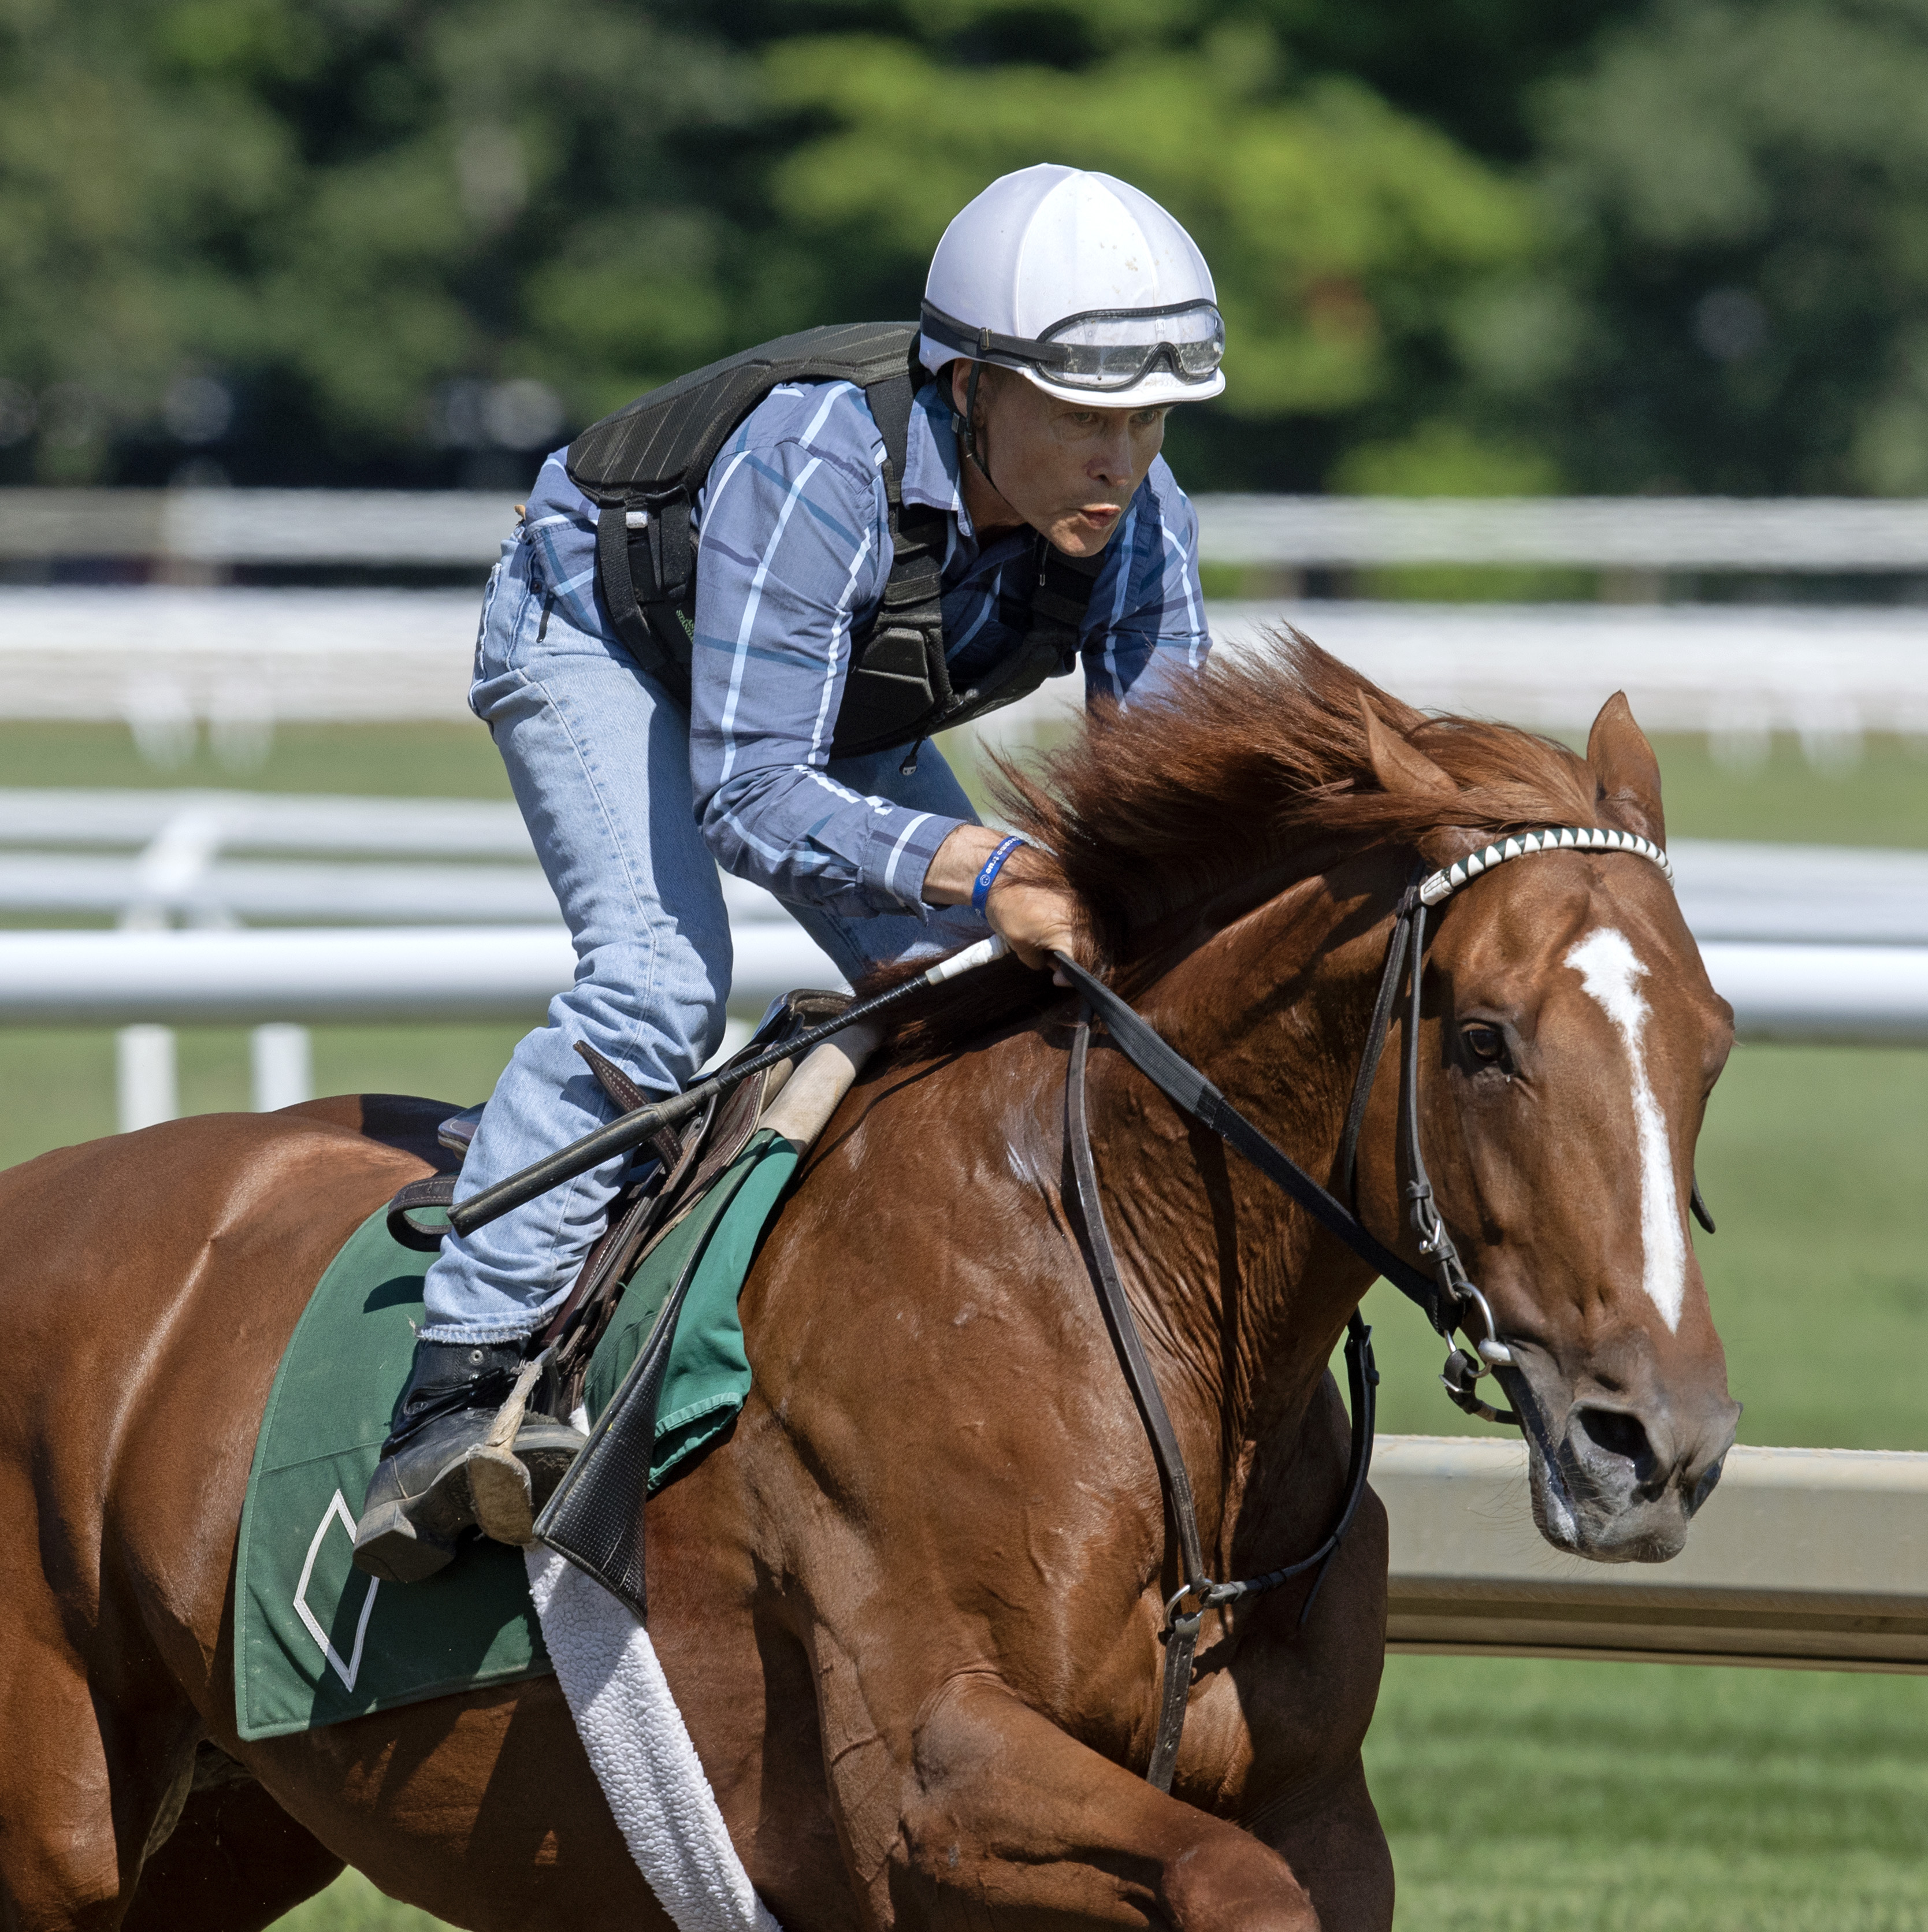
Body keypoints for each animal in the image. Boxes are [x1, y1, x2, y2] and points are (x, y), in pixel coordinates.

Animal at [0, 635, 1739, 1932]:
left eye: (1713, 1041)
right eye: (1484, 1037)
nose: (1657, 1446)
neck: (1125, 1305)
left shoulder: (1315, 1801)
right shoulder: (924, 1785)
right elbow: (1218, 1880)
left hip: (231, 1818)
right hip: (61, 1826)